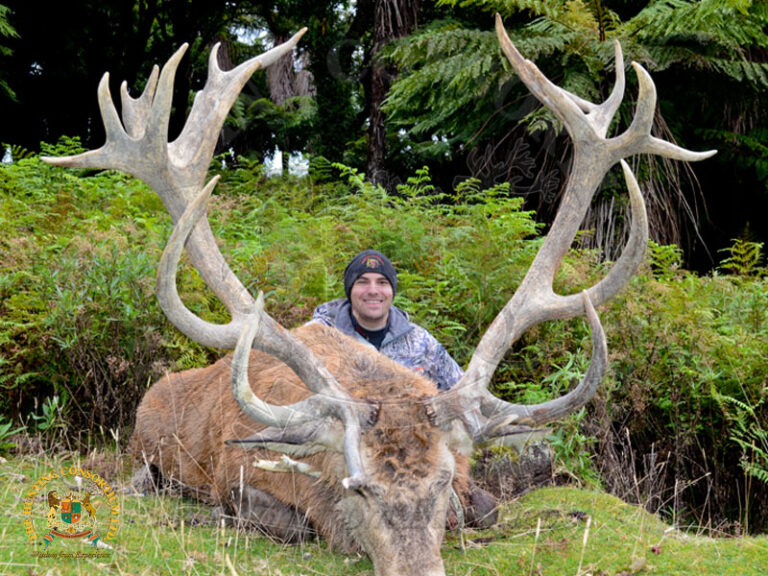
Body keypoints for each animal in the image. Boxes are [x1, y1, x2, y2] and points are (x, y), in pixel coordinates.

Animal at [42, 14, 715, 576]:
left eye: (441, 484)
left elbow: (488, 508)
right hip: (143, 445)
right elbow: (277, 519)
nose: (417, 570)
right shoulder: (243, 477)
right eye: (358, 487)